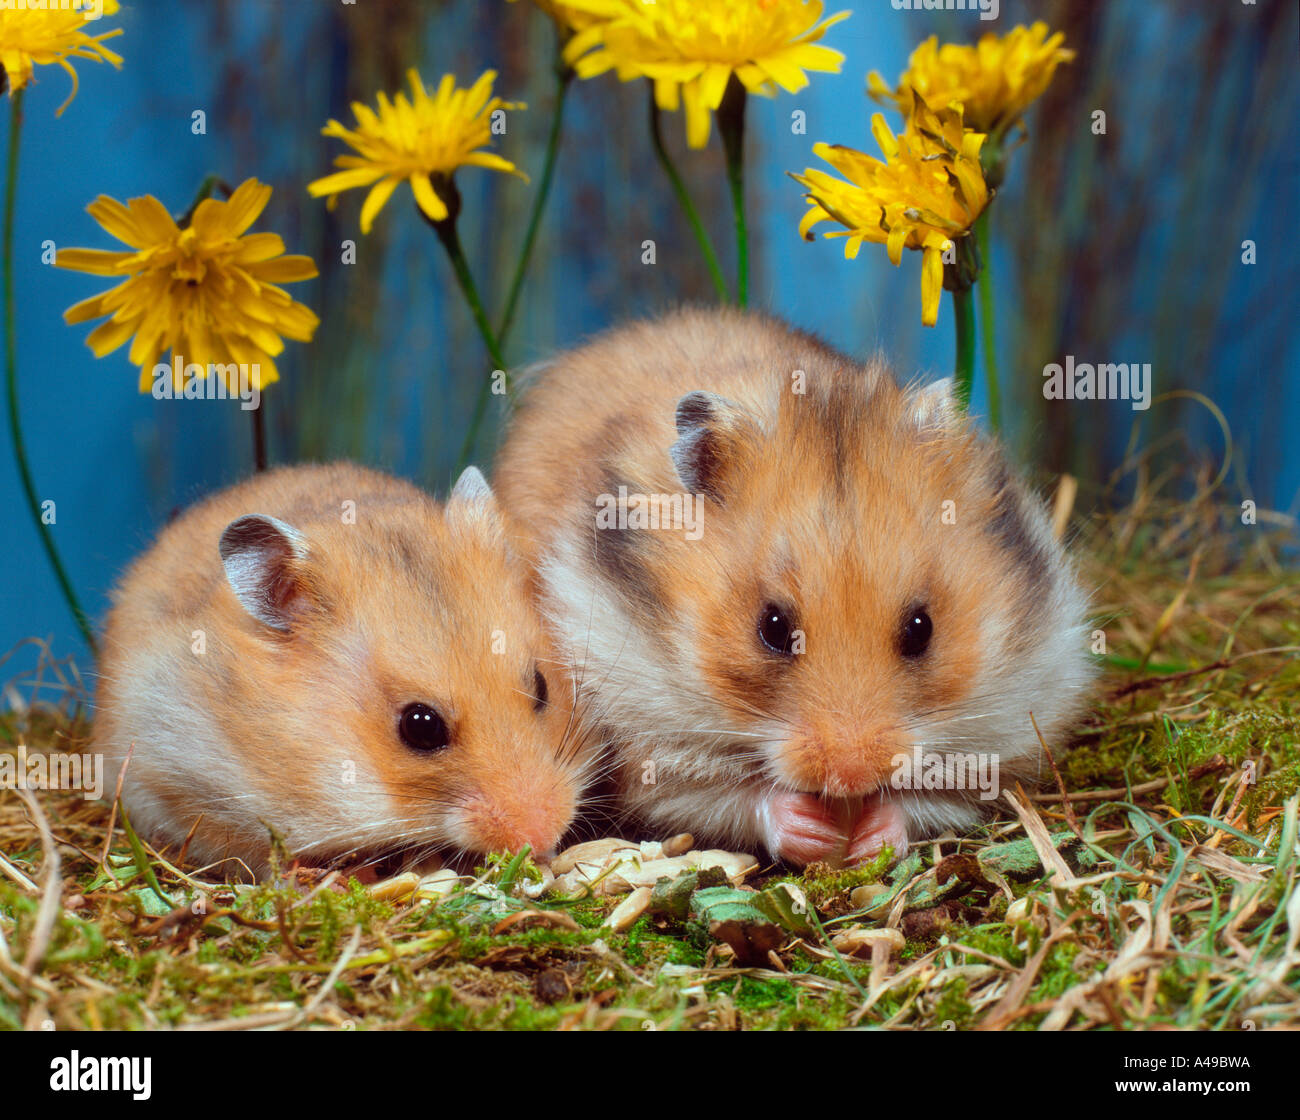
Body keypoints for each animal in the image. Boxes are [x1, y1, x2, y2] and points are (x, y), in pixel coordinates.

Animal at [494, 308, 1094, 867]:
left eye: (921, 630)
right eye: (774, 629)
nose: (852, 778)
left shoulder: (1009, 736)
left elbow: (930, 799)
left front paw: (869, 838)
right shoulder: (649, 748)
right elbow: (734, 796)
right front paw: (817, 833)